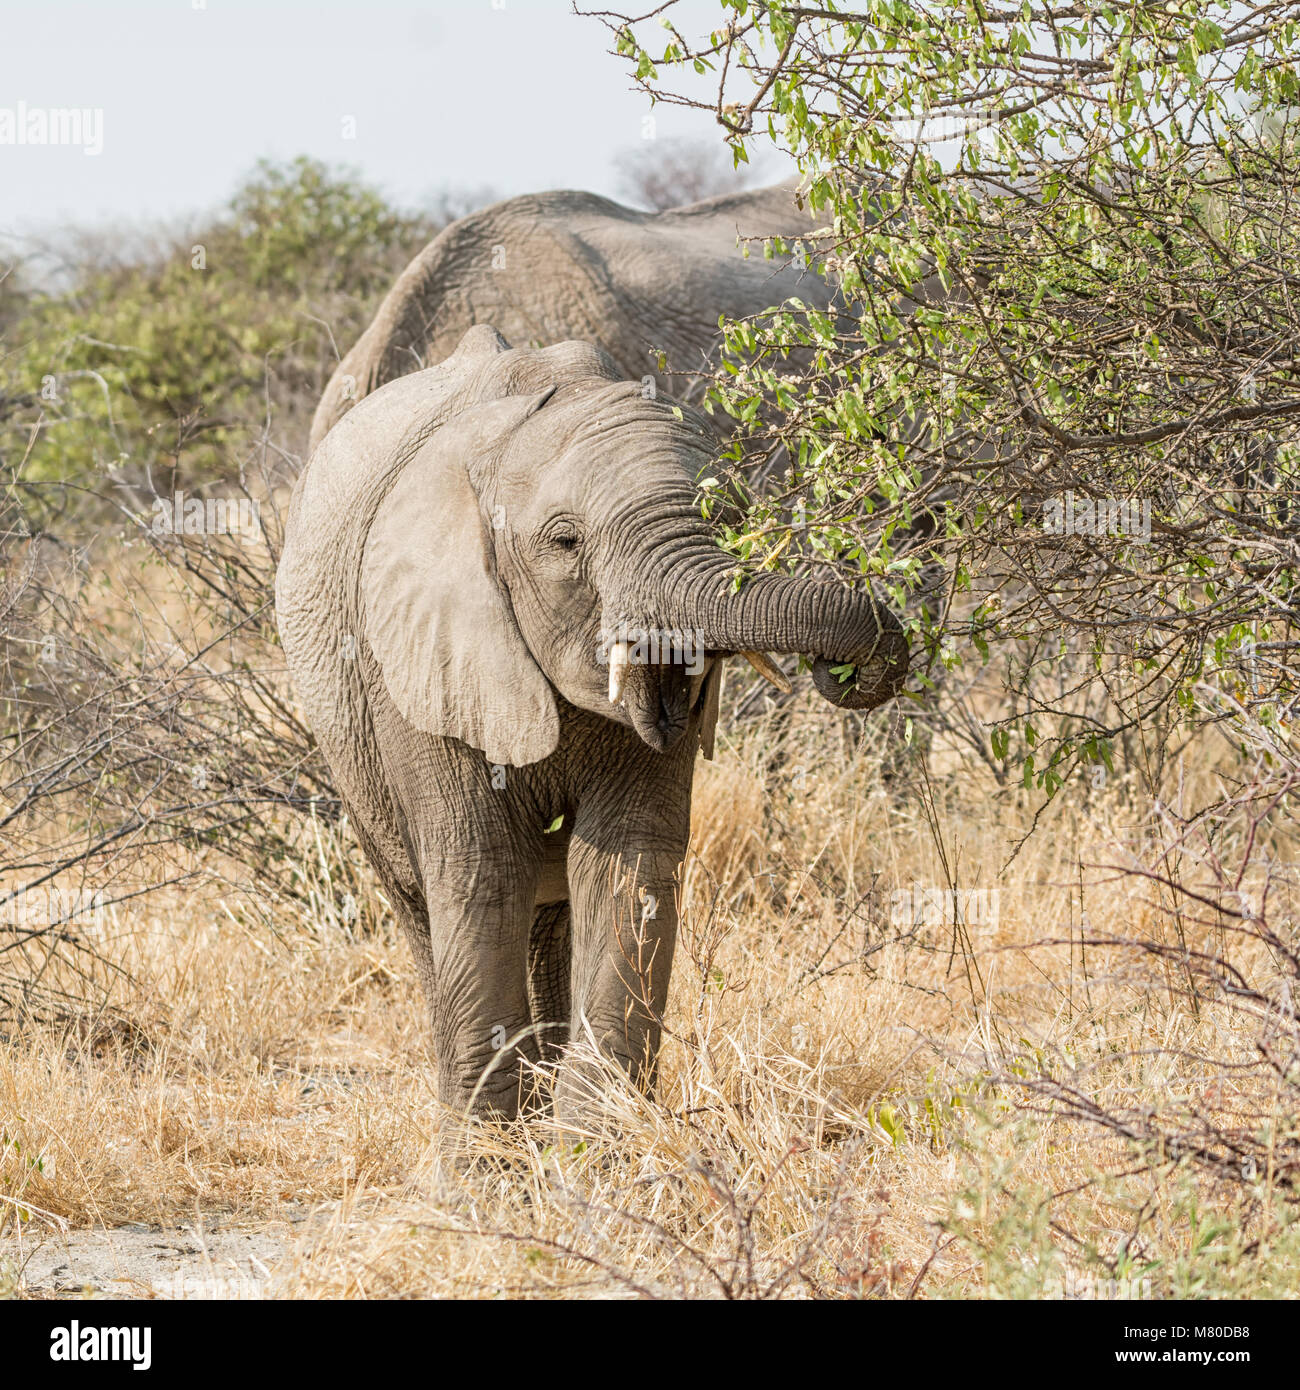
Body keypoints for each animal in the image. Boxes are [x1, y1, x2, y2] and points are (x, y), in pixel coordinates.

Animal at [277, 324, 908, 1120]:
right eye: (565, 541)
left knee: (550, 919)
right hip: (350, 744)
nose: (845, 667)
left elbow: (625, 865)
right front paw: (490, 1156)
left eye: (732, 520)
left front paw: (593, 1142)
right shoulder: (419, 663)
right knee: (423, 904)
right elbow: (482, 873)